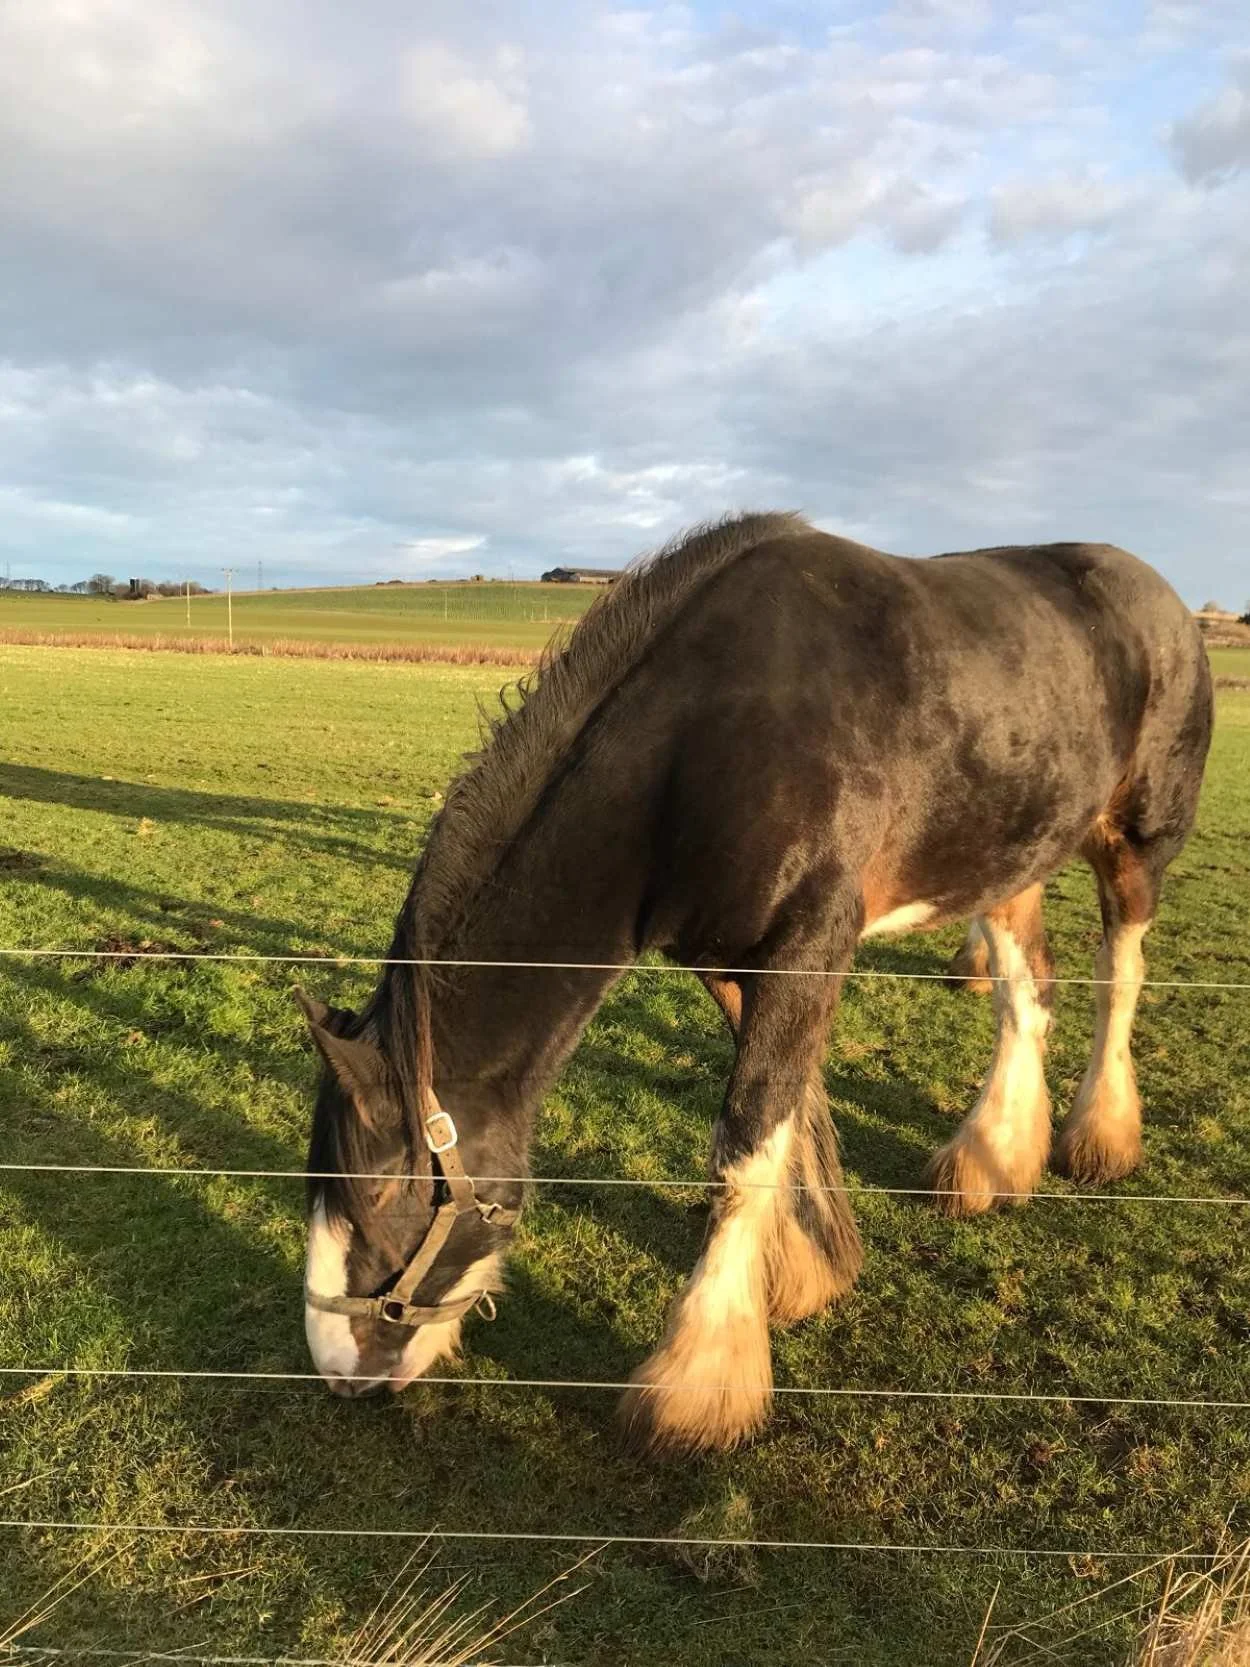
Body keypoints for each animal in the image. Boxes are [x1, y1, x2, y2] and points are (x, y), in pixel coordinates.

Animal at [297, 512, 1212, 1454]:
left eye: (384, 1190)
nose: (338, 1367)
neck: (702, 744)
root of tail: (1164, 600)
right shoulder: (732, 963)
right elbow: (789, 1112)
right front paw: (806, 1272)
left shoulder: (805, 949)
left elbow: (747, 1139)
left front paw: (698, 1383)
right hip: (1005, 861)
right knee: (1024, 995)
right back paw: (990, 1160)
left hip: (1135, 848)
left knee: (1119, 979)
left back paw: (1099, 1137)